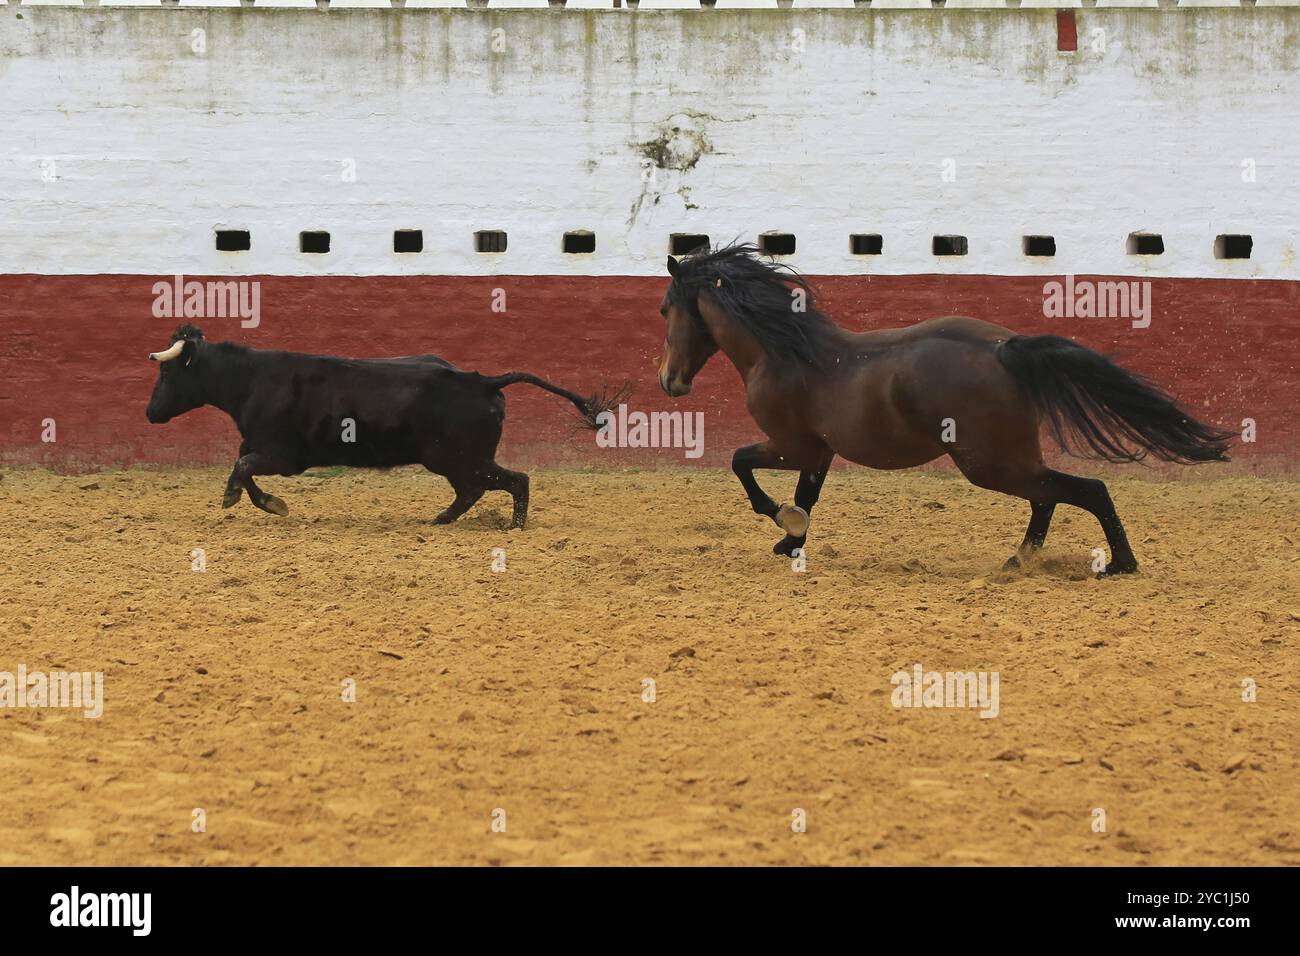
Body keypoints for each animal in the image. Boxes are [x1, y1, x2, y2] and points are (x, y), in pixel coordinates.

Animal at [145, 324, 622, 528]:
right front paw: (269, 503)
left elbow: (241, 469)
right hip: (457, 461)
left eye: (166, 372)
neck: (252, 381)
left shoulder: (283, 455)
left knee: (512, 480)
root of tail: (481, 380)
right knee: (474, 490)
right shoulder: (262, 448)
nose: (150, 413)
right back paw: (441, 519)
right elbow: (243, 467)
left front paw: (250, 501)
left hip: (457, 458)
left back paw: (513, 526)